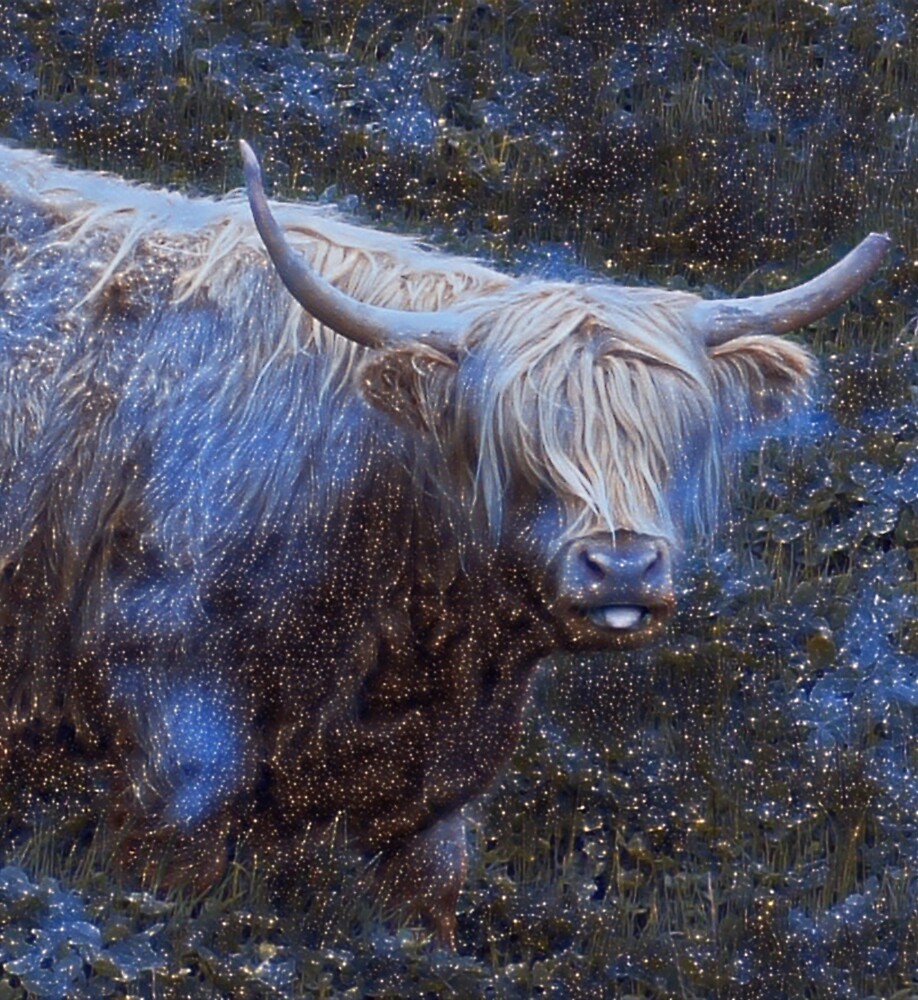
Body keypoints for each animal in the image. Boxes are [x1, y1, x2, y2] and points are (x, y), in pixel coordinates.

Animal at [0, 138, 889, 946]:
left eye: (676, 437)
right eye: (516, 444)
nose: (622, 568)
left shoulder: (437, 800)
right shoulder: (169, 714)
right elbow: (166, 896)